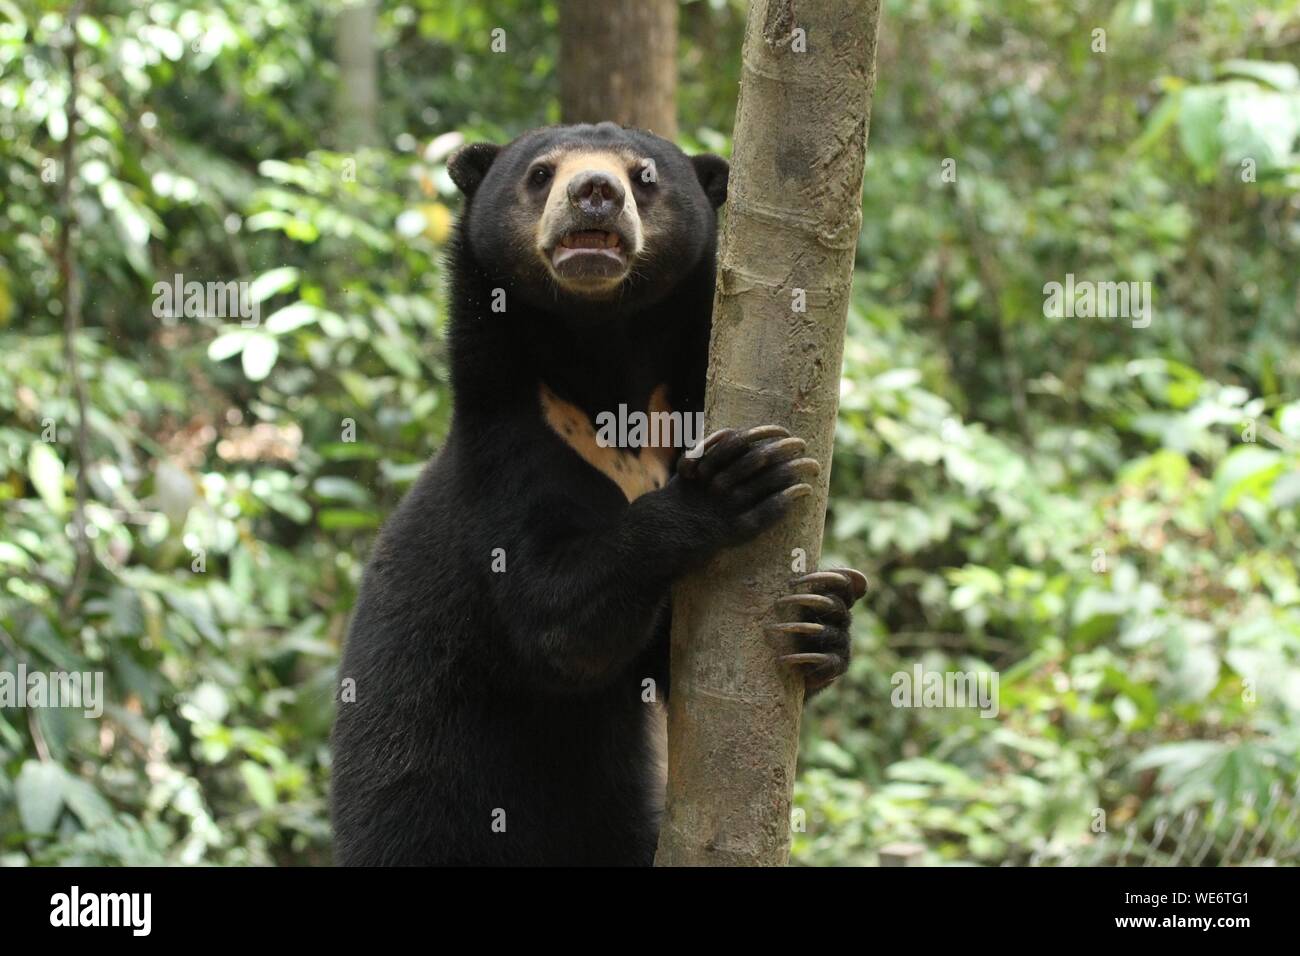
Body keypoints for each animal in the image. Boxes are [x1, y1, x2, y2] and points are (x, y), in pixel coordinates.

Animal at [330, 122, 868, 866]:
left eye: (644, 175)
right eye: (540, 172)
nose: (595, 192)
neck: (603, 365)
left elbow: (663, 657)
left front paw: (822, 619)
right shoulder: (510, 454)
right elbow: (556, 619)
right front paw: (738, 477)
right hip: (417, 812)